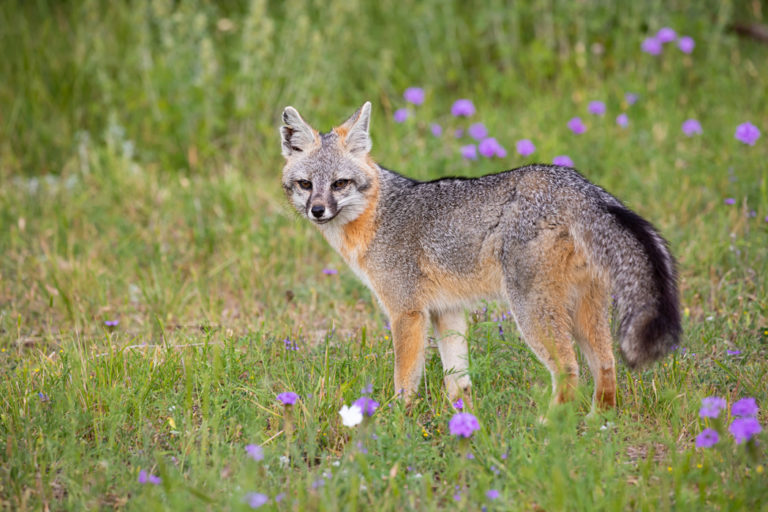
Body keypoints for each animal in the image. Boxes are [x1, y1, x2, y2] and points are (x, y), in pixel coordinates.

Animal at [279, 101, 681, 412]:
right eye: (305, 185)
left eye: (339, 184)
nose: (317, 210)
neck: (378, 215)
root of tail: (577, 185)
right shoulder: (446, 311)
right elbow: (458, 381)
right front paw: (463, 424)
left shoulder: (406, 313)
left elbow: (404, 381)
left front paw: (393, 422)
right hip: (585, 311)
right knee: (606, 366)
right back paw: (599, 422)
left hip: (531, 311)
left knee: (569, 372)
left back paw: (548, 428)